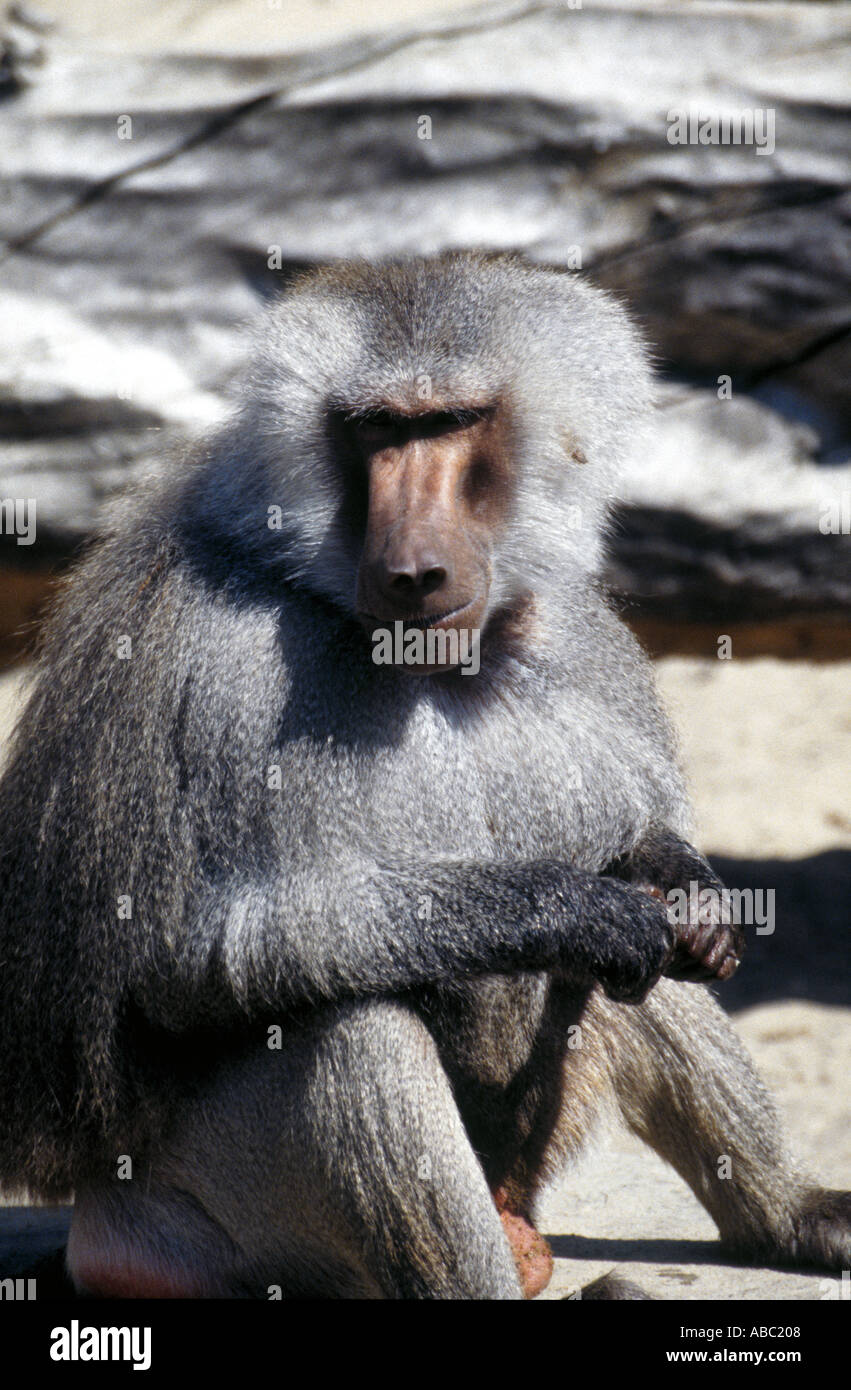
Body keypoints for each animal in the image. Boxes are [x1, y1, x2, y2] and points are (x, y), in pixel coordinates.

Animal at [0, 252, 847, 1299]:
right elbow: (188, 955)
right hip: (198, 1219)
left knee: (648, 985)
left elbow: (644, 857)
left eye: (450, 421)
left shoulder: (578, 634)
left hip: (521, 1167)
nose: (411, 570)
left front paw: (687, 888)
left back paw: (794, 1214)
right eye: (377, 430)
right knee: (351, 1028)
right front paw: (582, 909)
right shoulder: (224, 663)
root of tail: (97, 1227)